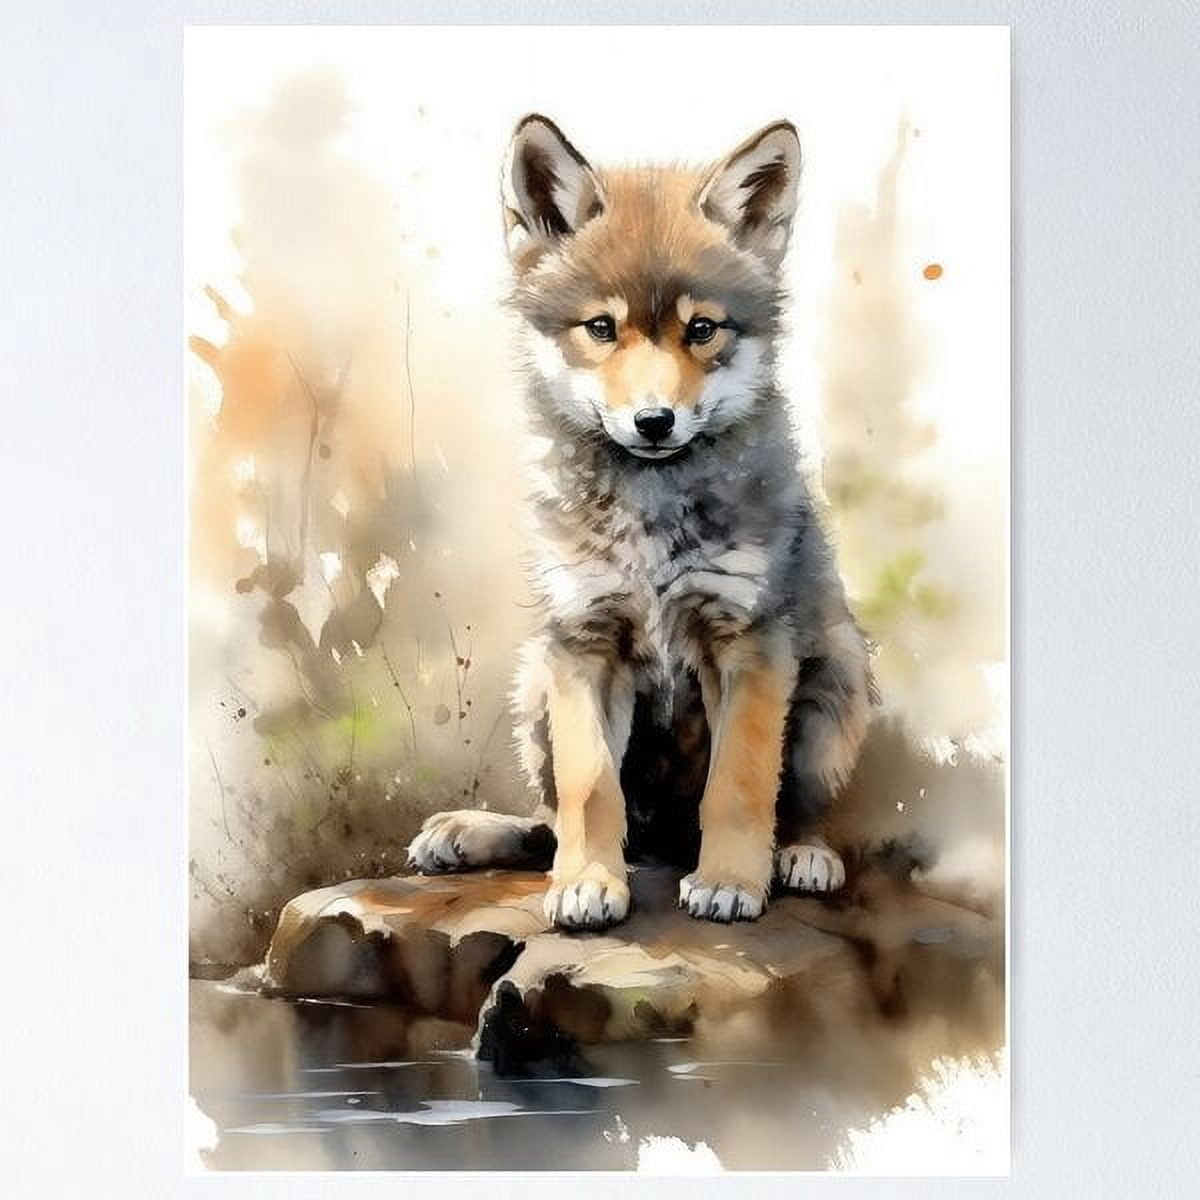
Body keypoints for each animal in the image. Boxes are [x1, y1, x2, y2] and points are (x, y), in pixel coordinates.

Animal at [407, 115, 874, 929]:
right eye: (601, 327)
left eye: (702, 329)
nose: (654, 421)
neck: (649, 519)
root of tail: (664, 839)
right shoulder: (584, 642)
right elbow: (591, 792)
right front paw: (589, 882)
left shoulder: (749, 643)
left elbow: (741, 786)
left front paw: (730, 881)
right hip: (534, 684)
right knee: (548, 820)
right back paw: (474, 833)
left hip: (838, 685)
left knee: (799, 807)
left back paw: (800, 856)